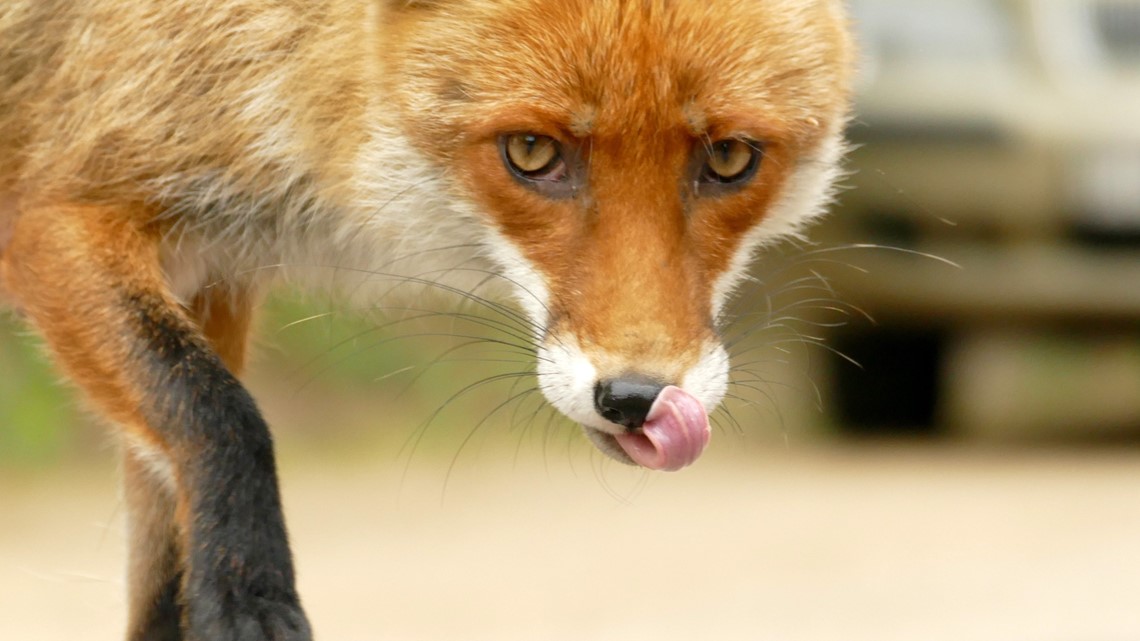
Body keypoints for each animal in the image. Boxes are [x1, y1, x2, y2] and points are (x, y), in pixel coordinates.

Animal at [0, 0, 854, 639]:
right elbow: (219, 414)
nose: (639, 398)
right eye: (531, 152)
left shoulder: (209, 268)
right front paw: (251, 600)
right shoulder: (54, 211)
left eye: (731, 158)